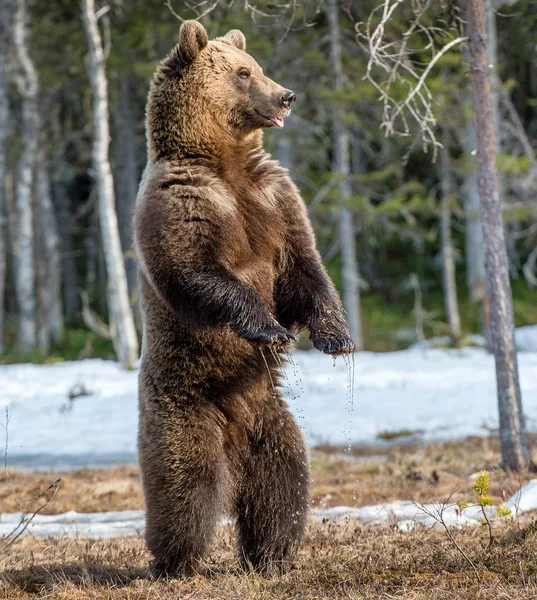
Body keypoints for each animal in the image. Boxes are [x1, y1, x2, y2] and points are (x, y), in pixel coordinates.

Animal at [133, 21, 354, 580]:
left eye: (255, 66)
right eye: (242, 72)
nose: (286, 95)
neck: (225, 161)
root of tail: (232, 436)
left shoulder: (275, 198)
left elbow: (304, 268)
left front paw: (336, 337)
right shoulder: (183, 202)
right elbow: (198, 272)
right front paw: (270, 328)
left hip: (269, 417)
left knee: (283, 484)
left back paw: (272, 555)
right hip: (184, 404)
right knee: (185, 487)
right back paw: (174, 561)